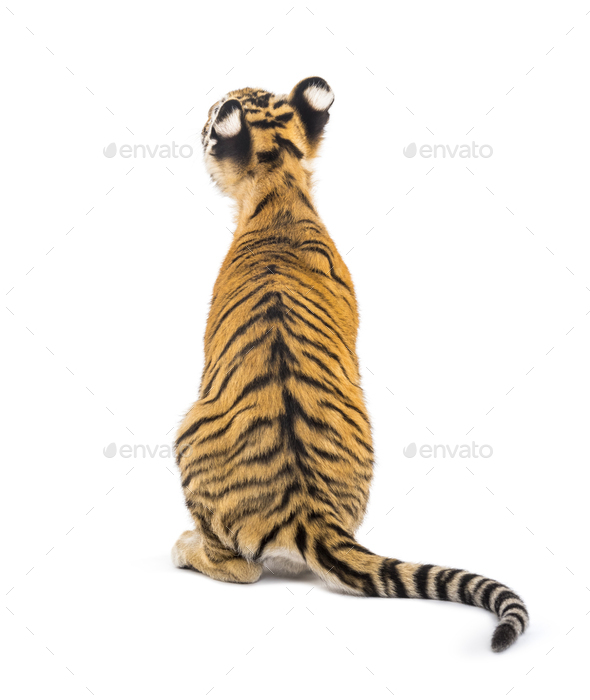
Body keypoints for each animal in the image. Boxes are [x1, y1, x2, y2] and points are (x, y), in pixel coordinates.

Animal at [172, 77, 528, 652]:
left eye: (211, 116)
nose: (201, 116)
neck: (280, 187)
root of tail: (310, 516)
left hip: (185, 435)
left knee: (240, 568)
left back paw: (185, 548)